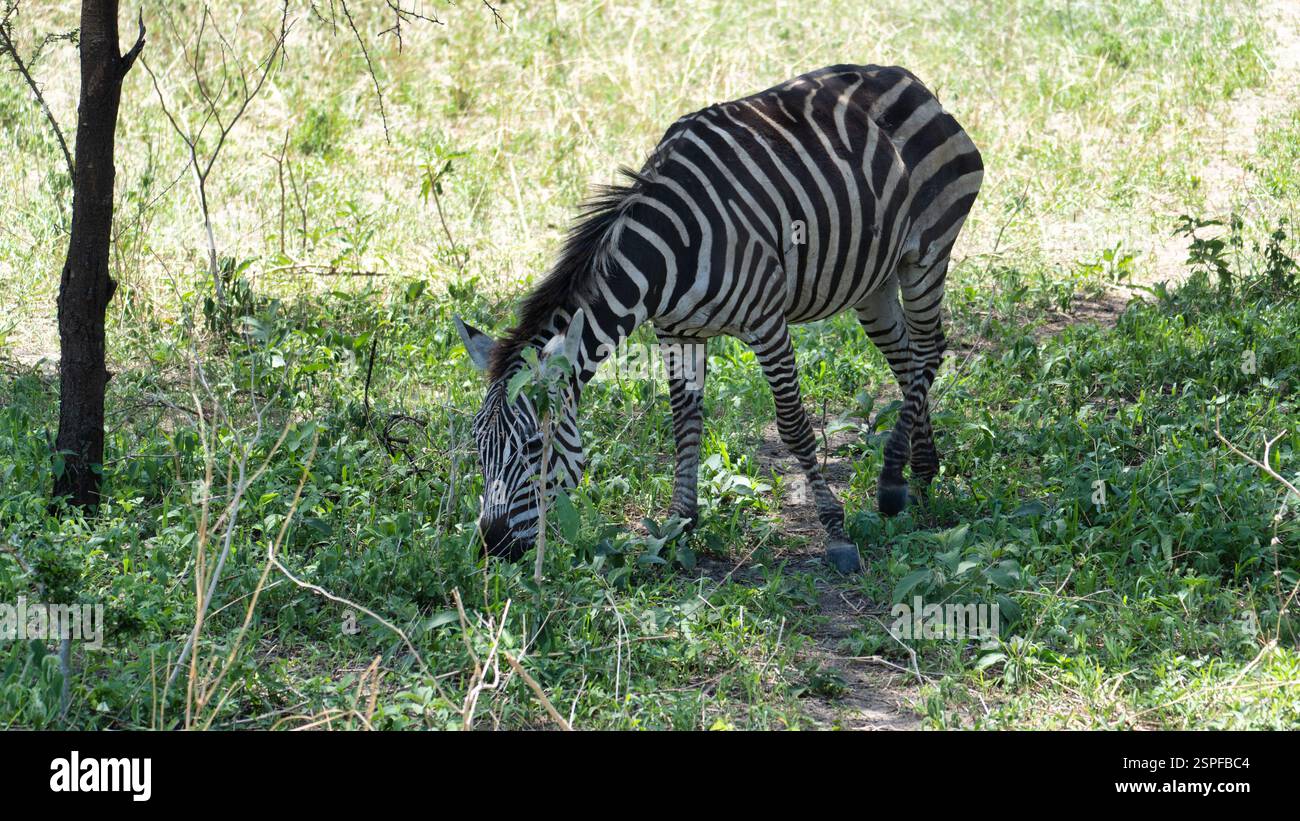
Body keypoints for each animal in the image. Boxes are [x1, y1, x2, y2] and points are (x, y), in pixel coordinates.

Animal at [455, 64, 983, 573]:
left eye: (533, 447)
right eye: (478, 448)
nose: (493, 547)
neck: (662, 254)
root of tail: (908, 79)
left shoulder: (768, 323)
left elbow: (793, 425)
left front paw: (835, 531)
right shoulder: (677, 333)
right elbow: (684, 423)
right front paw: (678, 527)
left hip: (926, 253)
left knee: (930, 349)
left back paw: (893, 481)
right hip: (874, 282)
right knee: (907, 358)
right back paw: (921, 475)